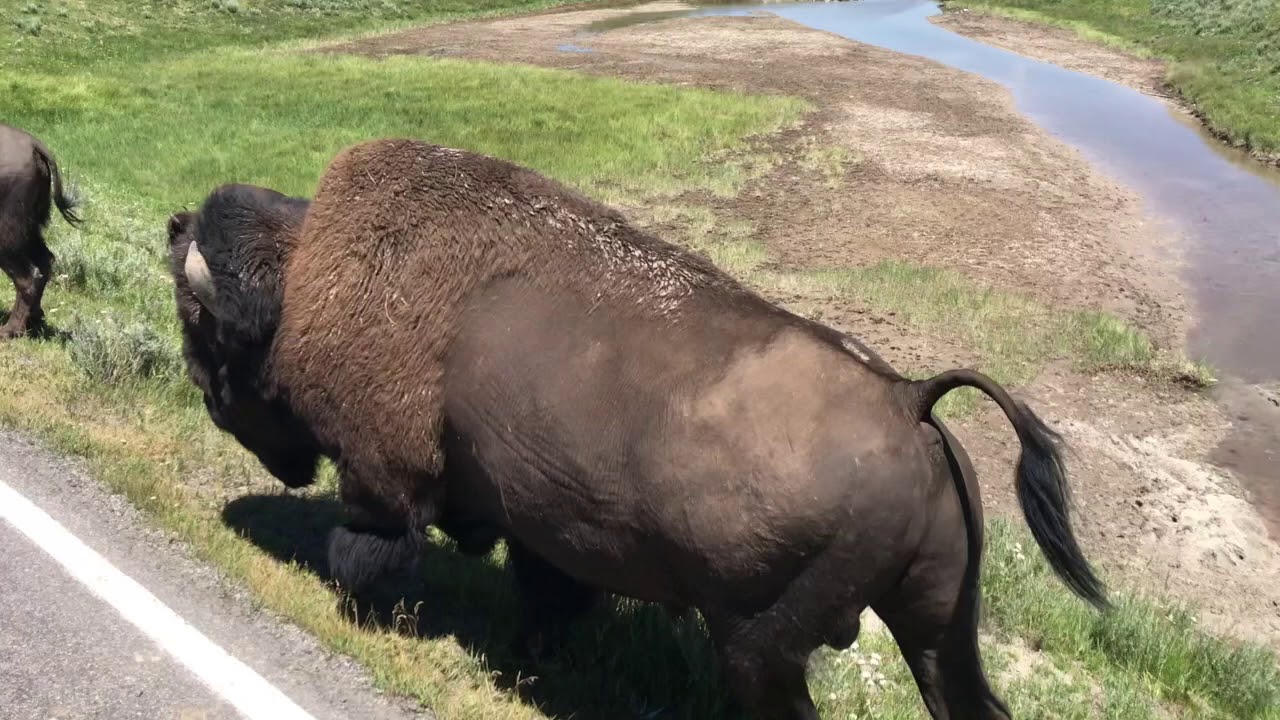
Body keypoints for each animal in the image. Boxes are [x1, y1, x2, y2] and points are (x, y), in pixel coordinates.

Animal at [1, 123, 81, 339]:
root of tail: (34, 145)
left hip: (7, 236)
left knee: (28, 277)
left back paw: (10, 330)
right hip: (29, 230)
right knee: (46, 261)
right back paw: (35, 321)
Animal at [168, 139, 1108, 720]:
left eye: (203, 329)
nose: (206, 399)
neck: (307, 278)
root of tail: (908, 400)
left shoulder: (382, 480)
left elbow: (368, 552)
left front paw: (359, 613)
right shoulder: (540, 526)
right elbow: (548, 594)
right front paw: (529, 660)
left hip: (762, 642)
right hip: (936, 623)